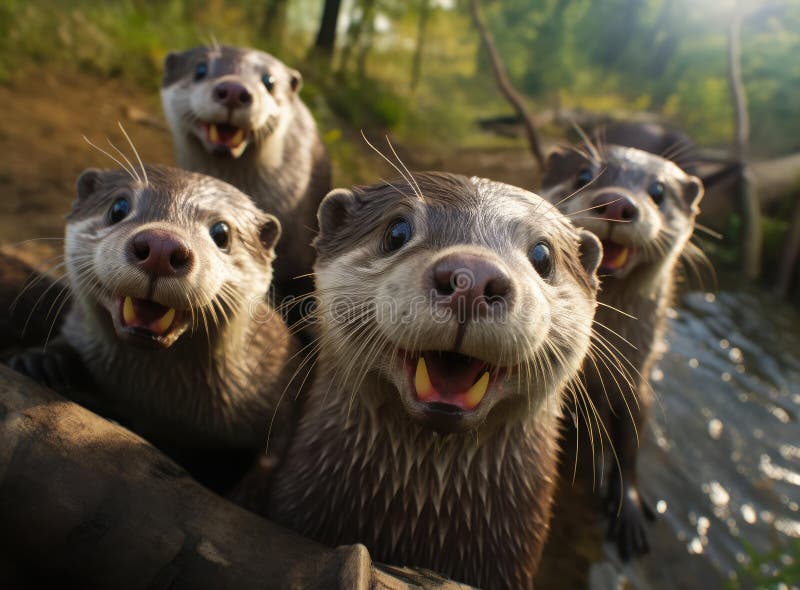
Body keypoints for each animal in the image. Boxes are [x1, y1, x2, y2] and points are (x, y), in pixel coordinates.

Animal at [8, 164, 302, 491]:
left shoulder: (279, 371)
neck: (162, 406)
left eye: (221, 233)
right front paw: (41, 361)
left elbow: (278, 445)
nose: (162, 246)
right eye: (118, 208)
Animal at [541, 142, 705, 560]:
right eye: (583, 174)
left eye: (658, 191)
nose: (616, 203)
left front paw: (627, 503)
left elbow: (631, 443)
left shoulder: (635, 381)